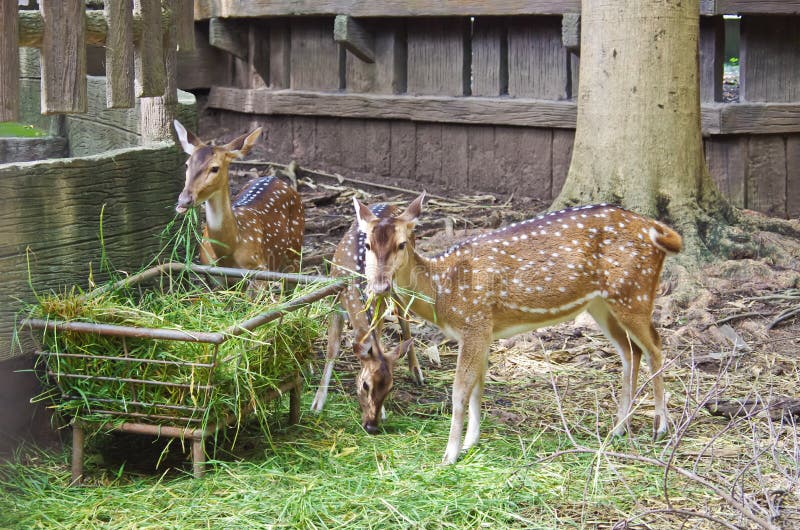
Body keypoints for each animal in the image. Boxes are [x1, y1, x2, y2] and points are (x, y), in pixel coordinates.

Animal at [173, 120, 304, 273]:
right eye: (187, 165)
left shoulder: (259, 268)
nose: (184, 200)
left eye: (215, 168)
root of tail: (276, 179)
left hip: (295, 247)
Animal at [310, 202, 424, 433]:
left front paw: (384, 412)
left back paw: (417, 372)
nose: (372, 426)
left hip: (402, 278)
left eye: (390, 387)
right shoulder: (336, 300)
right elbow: (332, 348)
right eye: (365, 385)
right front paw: (317, 403)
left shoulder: (378, 305)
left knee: (404, 314)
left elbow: (377, 339)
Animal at [352, 192, 682, 464]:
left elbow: (460, 391)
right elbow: (478, 387)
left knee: (656, 346)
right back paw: (618, 429)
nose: (379, 286)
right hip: (602, 303)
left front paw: (449, 455)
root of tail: (657, 230)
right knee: (630, 352)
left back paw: (660, 427)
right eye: (367, 244)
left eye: (401, 244)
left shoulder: (474, 323)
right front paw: (471, 443)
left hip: (634, 291)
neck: (442, 291)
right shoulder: (484, 331)